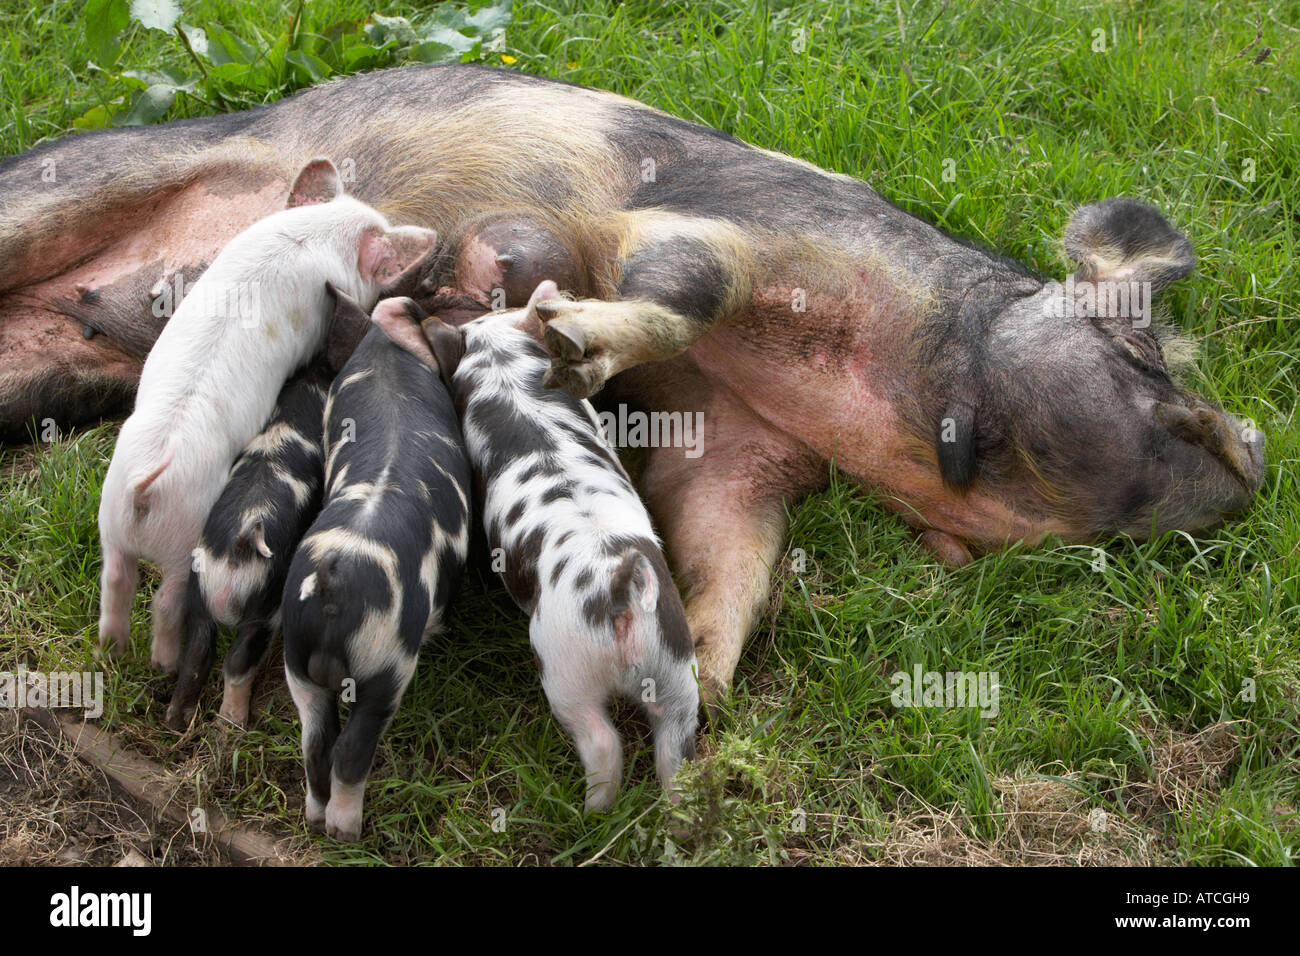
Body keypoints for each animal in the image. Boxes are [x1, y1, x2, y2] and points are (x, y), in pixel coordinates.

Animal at [95, 157, 434, 674]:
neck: (315, 233)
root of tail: (142, 489)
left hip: (109, 515)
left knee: (114, 579)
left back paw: (111, 649)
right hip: (183, 533)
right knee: (165, 599)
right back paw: (162, 662)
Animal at [164, 358, 332, 730]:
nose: (320, 363)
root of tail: (238, 544)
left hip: (199, 593)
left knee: (196, 655)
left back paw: (176, 719)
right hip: (263, 606)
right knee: (237, 661)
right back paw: (233, 724)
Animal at [280, 289, 470, 842]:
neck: (387, 350)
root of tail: (332, 583)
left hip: (294, 656)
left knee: (314, 740)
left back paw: (315, 817)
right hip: (386, 661)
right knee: (350, 746)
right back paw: (346, 831)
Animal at [420, 281, 698, 811]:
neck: (502, 363)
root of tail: (618, 594)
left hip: (565, 665)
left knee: (602, 741)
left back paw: (590, 811)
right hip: (675, 661)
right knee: (676, 752)